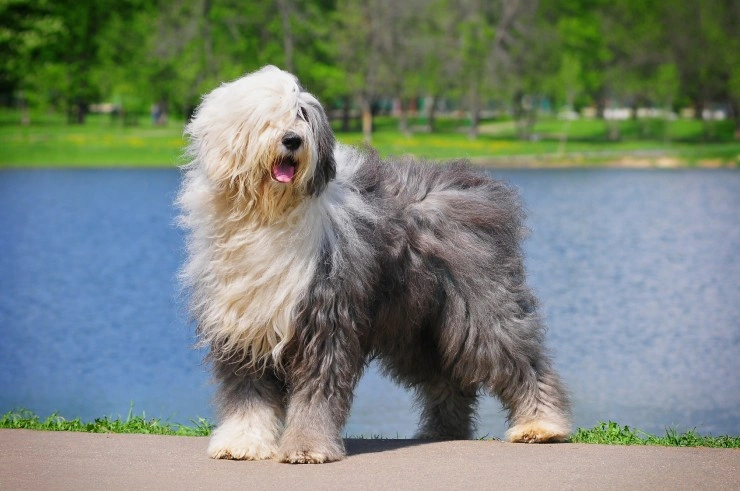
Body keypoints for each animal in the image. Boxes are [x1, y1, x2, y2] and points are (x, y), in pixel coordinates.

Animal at [179, 66, 572, 466]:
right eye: (266, 116)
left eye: (302, 114)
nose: (292, 140)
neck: (268, 215)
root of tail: (478, 188)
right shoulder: (243, 325)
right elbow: (248, 394)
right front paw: (242, 443)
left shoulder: (324, 319)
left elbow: (316, 391)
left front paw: (307, 446)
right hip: (417, 327)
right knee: (447, 379)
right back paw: (443, 430)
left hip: (479, 308)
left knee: (519, 358)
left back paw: (541, 425)